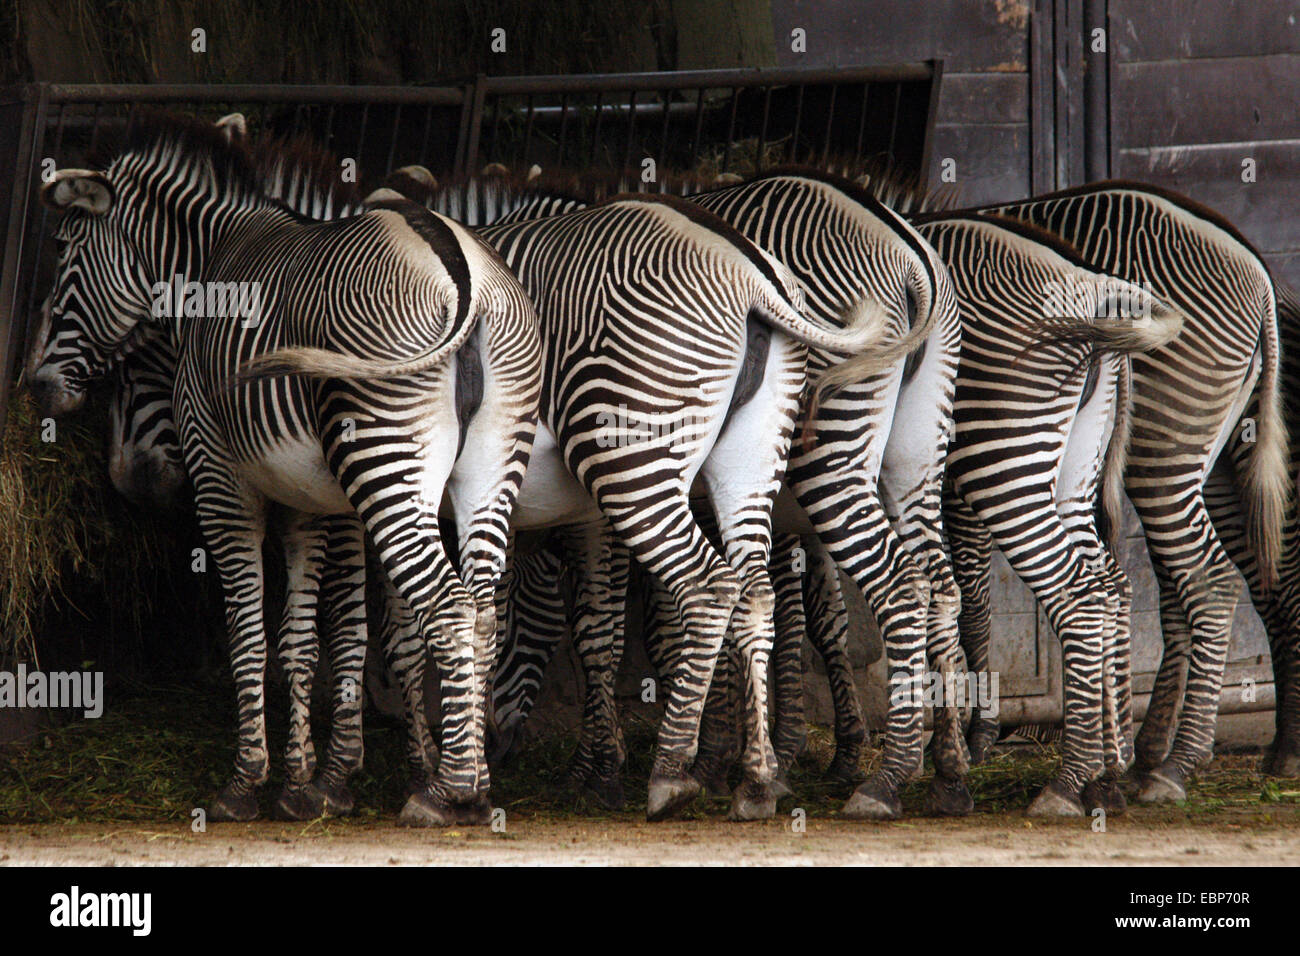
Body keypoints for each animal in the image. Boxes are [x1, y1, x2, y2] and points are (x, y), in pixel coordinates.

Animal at [27, 111, 545, 825]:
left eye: (63, 252)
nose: (35, 388)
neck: (212, 261)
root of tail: (458, 272)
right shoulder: (310, 501)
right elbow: (308, 636)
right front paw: (308, 783)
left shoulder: (221, 480)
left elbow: (256, 629)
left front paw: (250, 783)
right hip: (487, 463)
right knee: (483, 609)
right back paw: (476, 784)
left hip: (382, 457)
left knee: (447, 604)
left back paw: (447, 792)